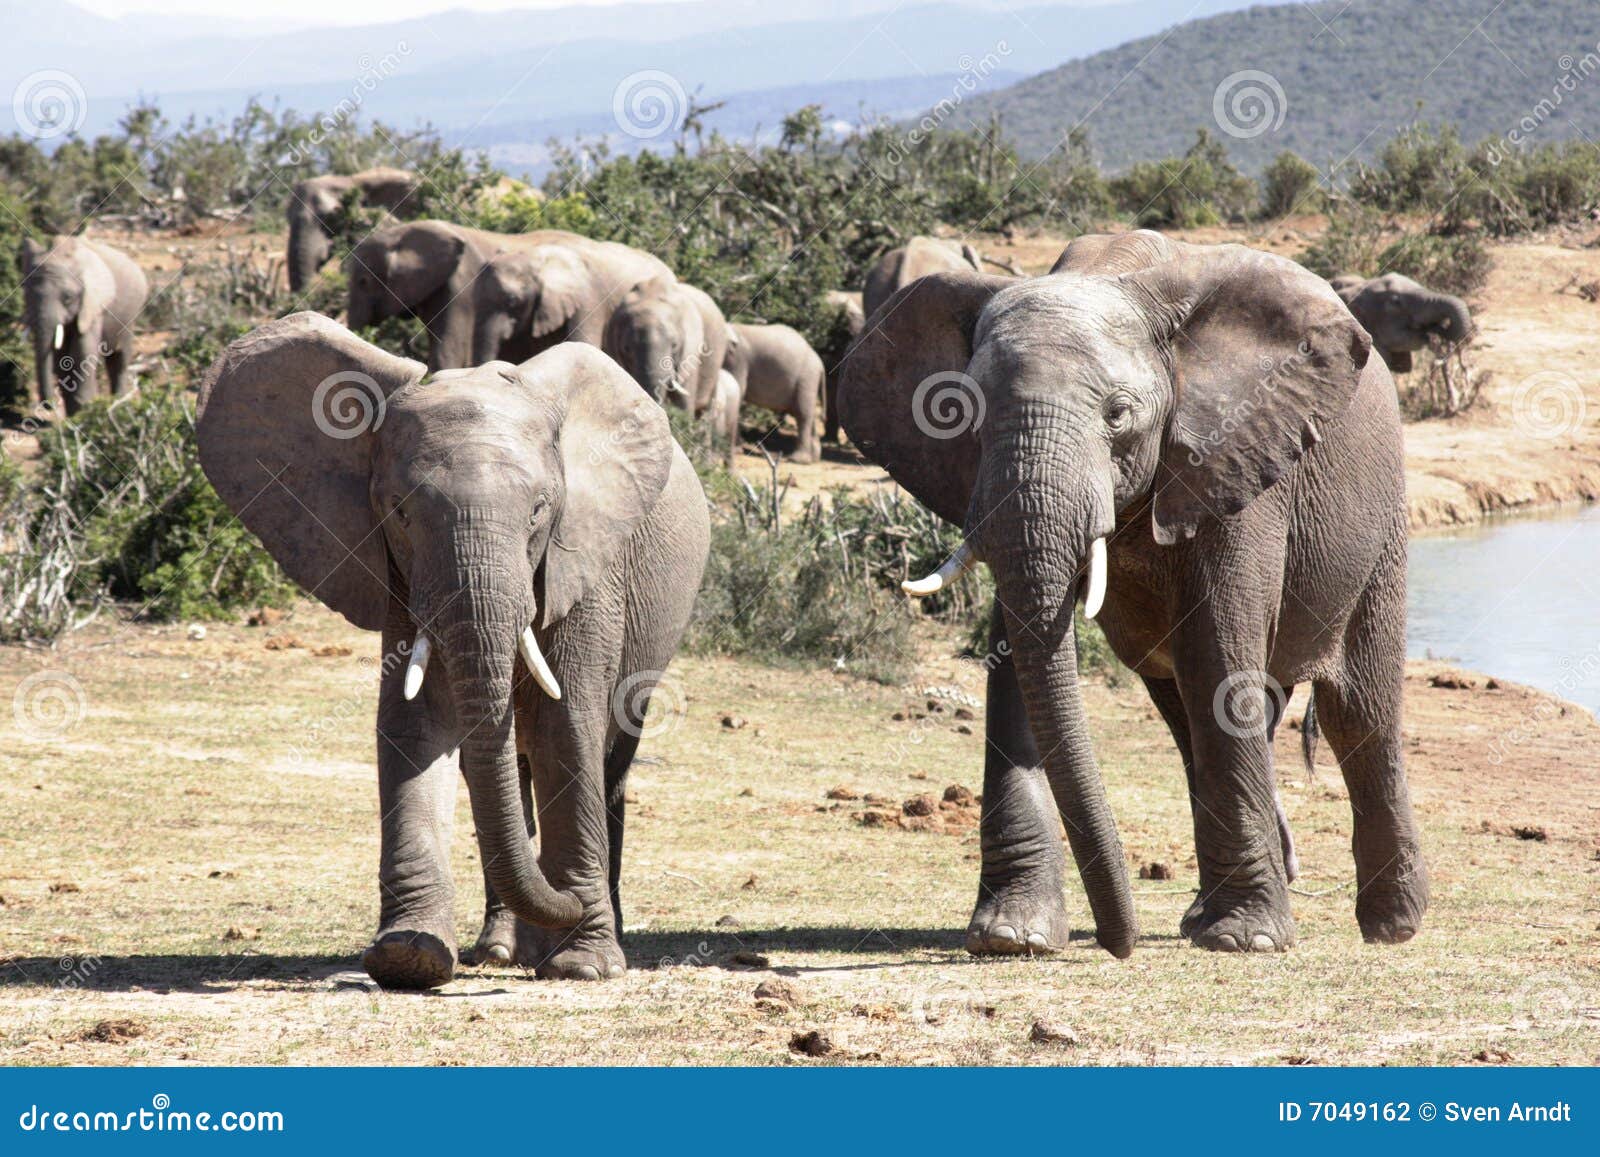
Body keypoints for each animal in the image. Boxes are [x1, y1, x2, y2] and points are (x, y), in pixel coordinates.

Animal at [20, 236, 149, 416]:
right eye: (26, 294)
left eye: (68, 298)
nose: (50, 406)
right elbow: (62, 359)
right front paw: (74, 414)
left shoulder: (92, 306)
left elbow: (82, 352)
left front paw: (85, 409)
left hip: (132, 313)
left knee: (120, 358)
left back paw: (119, 404)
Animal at [195, 311, 710, 989]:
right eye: (400, 511)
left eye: (539, 512)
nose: (569, 902)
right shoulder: (398, 572)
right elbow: (416, 723)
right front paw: (408, 957)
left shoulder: (585, 563)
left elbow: (567, 724)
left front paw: (584, 965)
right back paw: (500, 952)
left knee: (609, 756)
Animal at [722, 323, 826, 464]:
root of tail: (820, 364)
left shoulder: (737, 360)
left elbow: (739, 390)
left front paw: (737, 450)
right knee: (807, 414)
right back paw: (813, 459)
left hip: (807, 377)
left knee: (802, 414)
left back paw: (798, 460)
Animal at [839, 230, 1428, 960]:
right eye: (961, 414)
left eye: (1118, 416)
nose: (1118, 944)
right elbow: (1016, 659)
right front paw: (1013, 936)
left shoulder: (1234, 455)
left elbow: (1216, 655)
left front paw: (1248, 940)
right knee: (1190, 719)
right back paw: (1216, 909)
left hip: (1381, 518)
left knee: (1358, 714)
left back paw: (1390, 925)